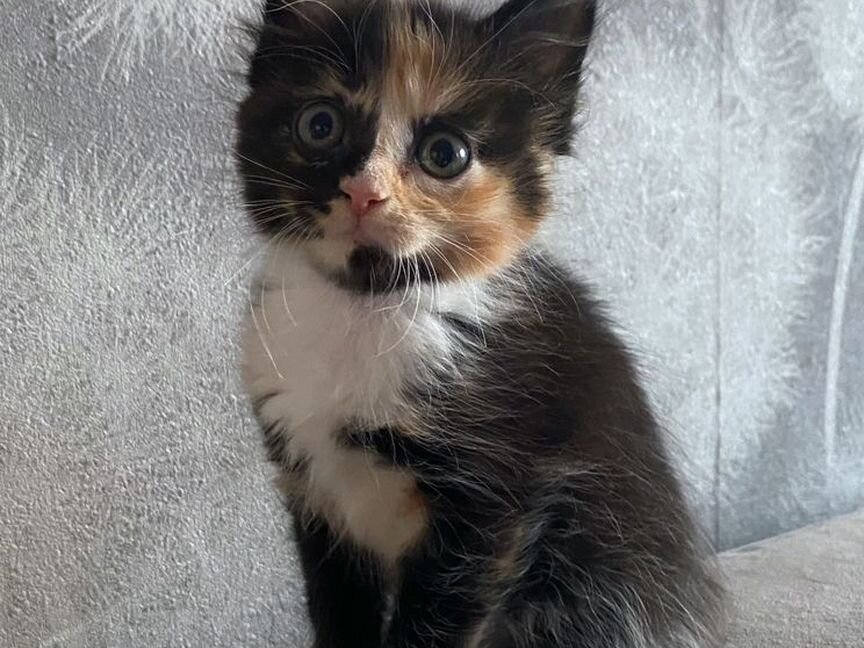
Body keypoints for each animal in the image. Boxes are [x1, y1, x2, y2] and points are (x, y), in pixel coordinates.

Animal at [236, 1, 726, 647]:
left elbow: (432, 626)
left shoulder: (490, 503)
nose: (365, 193)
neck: (366, 309)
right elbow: (339, 612)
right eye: (320, 125)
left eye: (445, 155)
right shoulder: (314, 493)